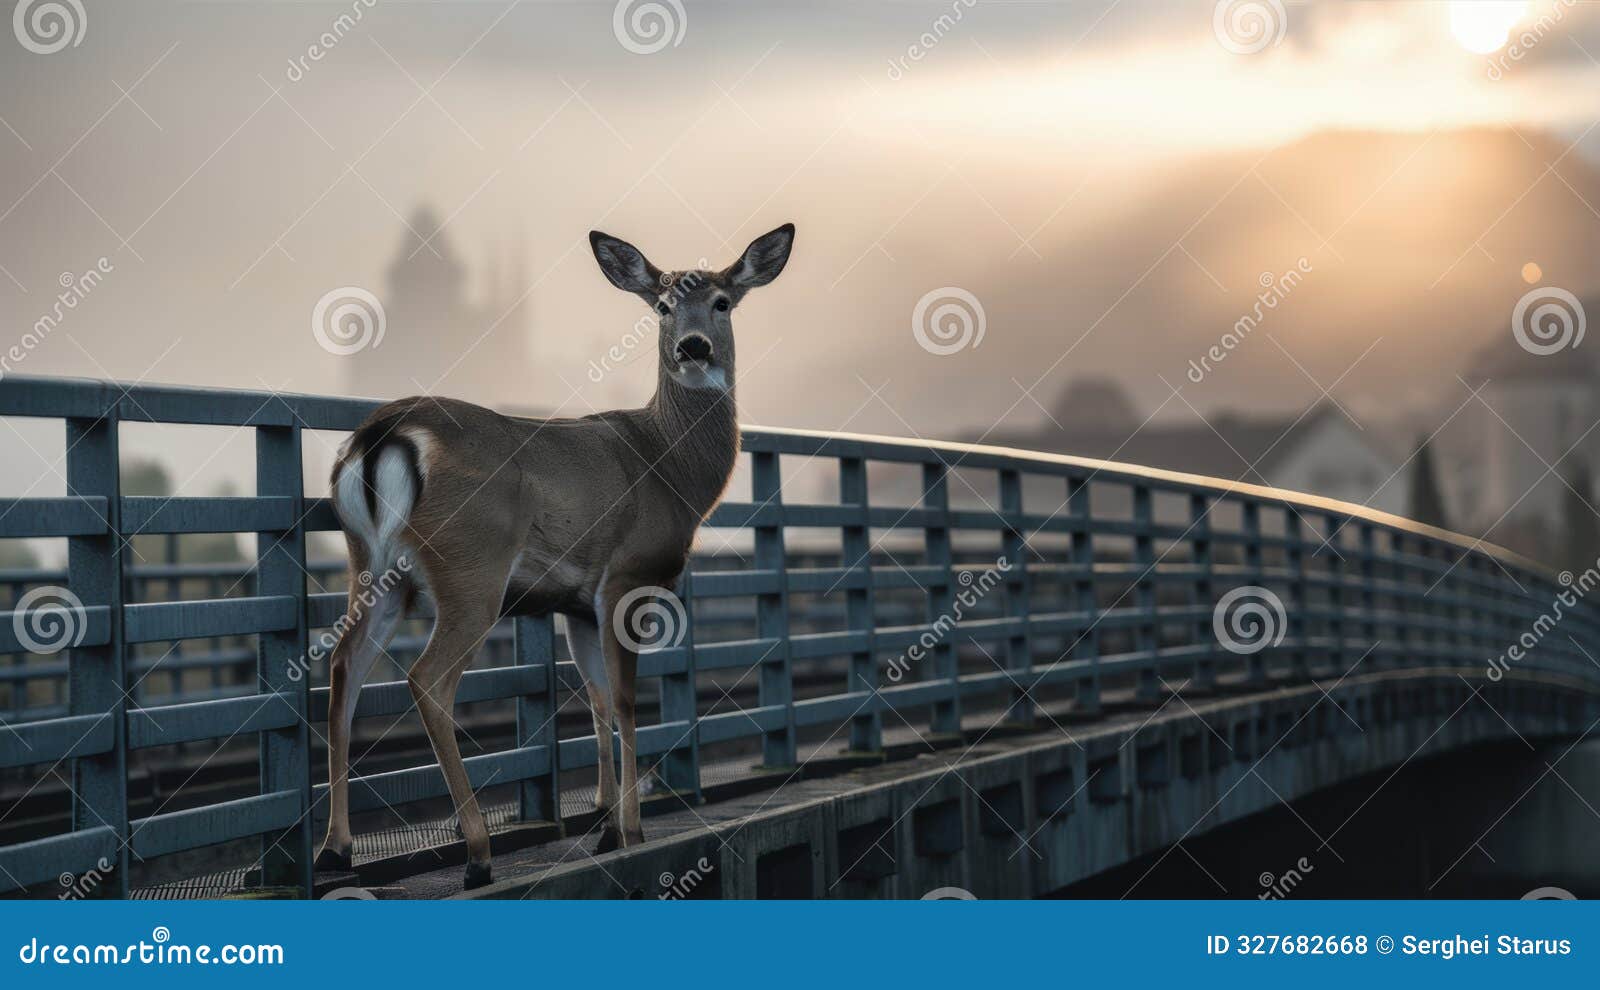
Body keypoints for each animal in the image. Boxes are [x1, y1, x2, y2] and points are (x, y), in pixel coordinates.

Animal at [313, 223, 796, 890]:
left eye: (723, 302)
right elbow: (627, 700)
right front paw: (632, 829)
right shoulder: (627, 578)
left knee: (344, 666)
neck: (672, 469)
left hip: (374, 565)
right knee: (427, 679)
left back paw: (335, 850)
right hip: (472, 567)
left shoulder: (577, 604)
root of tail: (382, 435)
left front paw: (604, 822)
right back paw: (477, 854)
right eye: (662, 307)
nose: (693, 347)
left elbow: (595, 699)